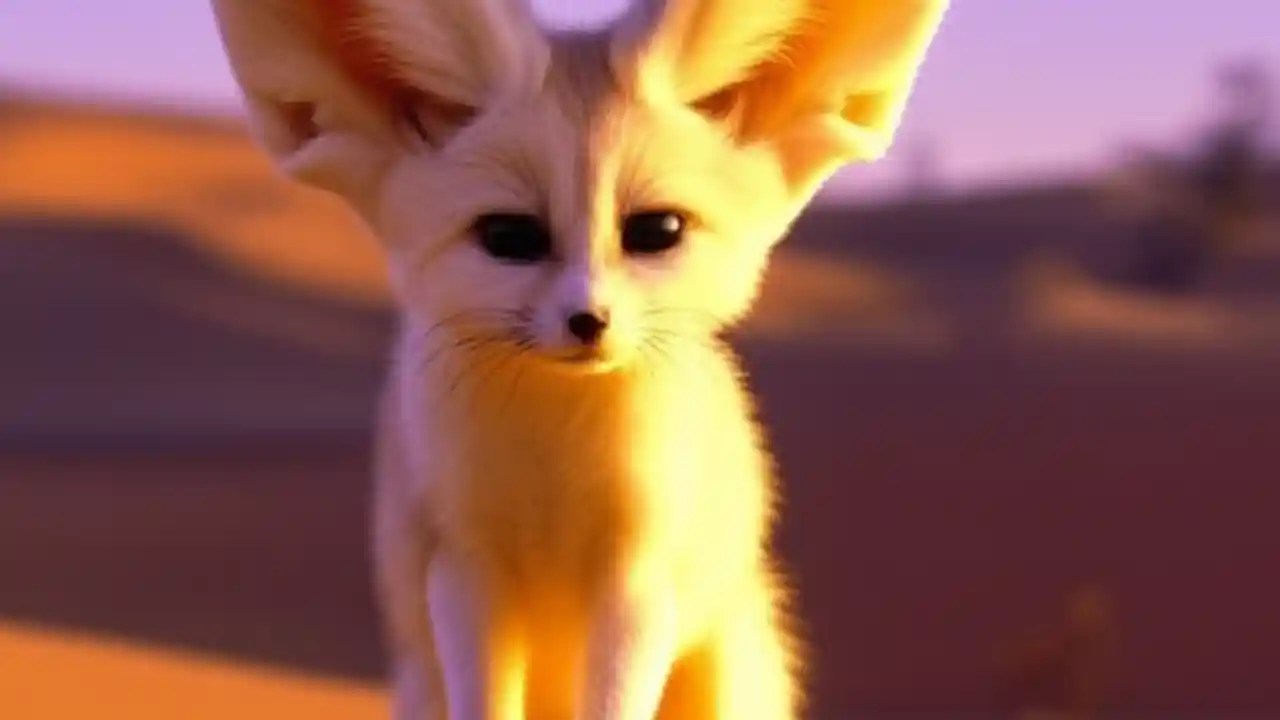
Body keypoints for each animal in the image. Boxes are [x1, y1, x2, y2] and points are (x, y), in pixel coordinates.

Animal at [210, 1, 947, 718]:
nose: (588, 320)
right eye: (509, 237)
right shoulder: (465, 565)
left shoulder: (638, 575)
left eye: (657, 232)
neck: (556, 463)